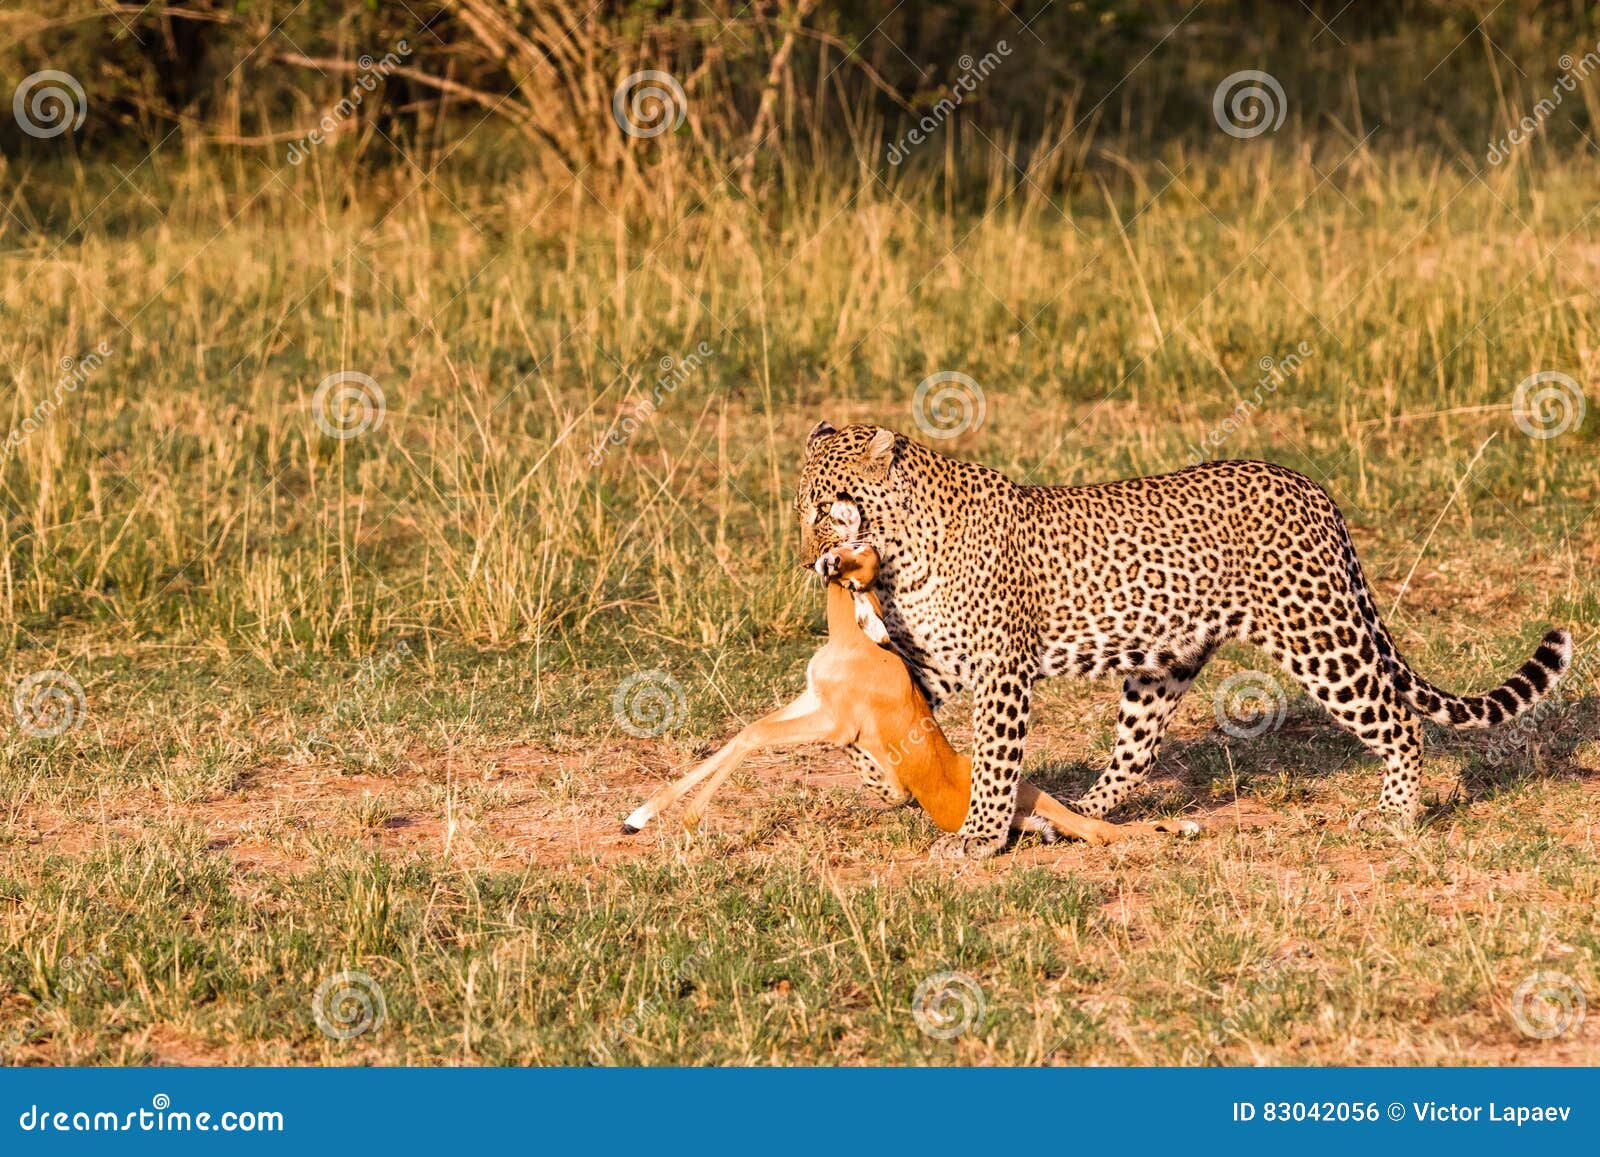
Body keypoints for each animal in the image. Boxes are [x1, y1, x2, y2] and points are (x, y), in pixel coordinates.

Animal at [795, 421, 1574, 860]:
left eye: (827, 508)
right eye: (799, 507)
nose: (808, 559)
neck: (902, 549)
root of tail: (1313, 488)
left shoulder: (1000, 670)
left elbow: (993, 760)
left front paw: (980, 837)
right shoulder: (938, 661)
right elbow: (877, 714)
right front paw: (880, 778)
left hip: (1319, 635)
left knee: (1399, 718)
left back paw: (1393, 816)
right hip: (1163, 665)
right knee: (1135, 755)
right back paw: (1074, 815)